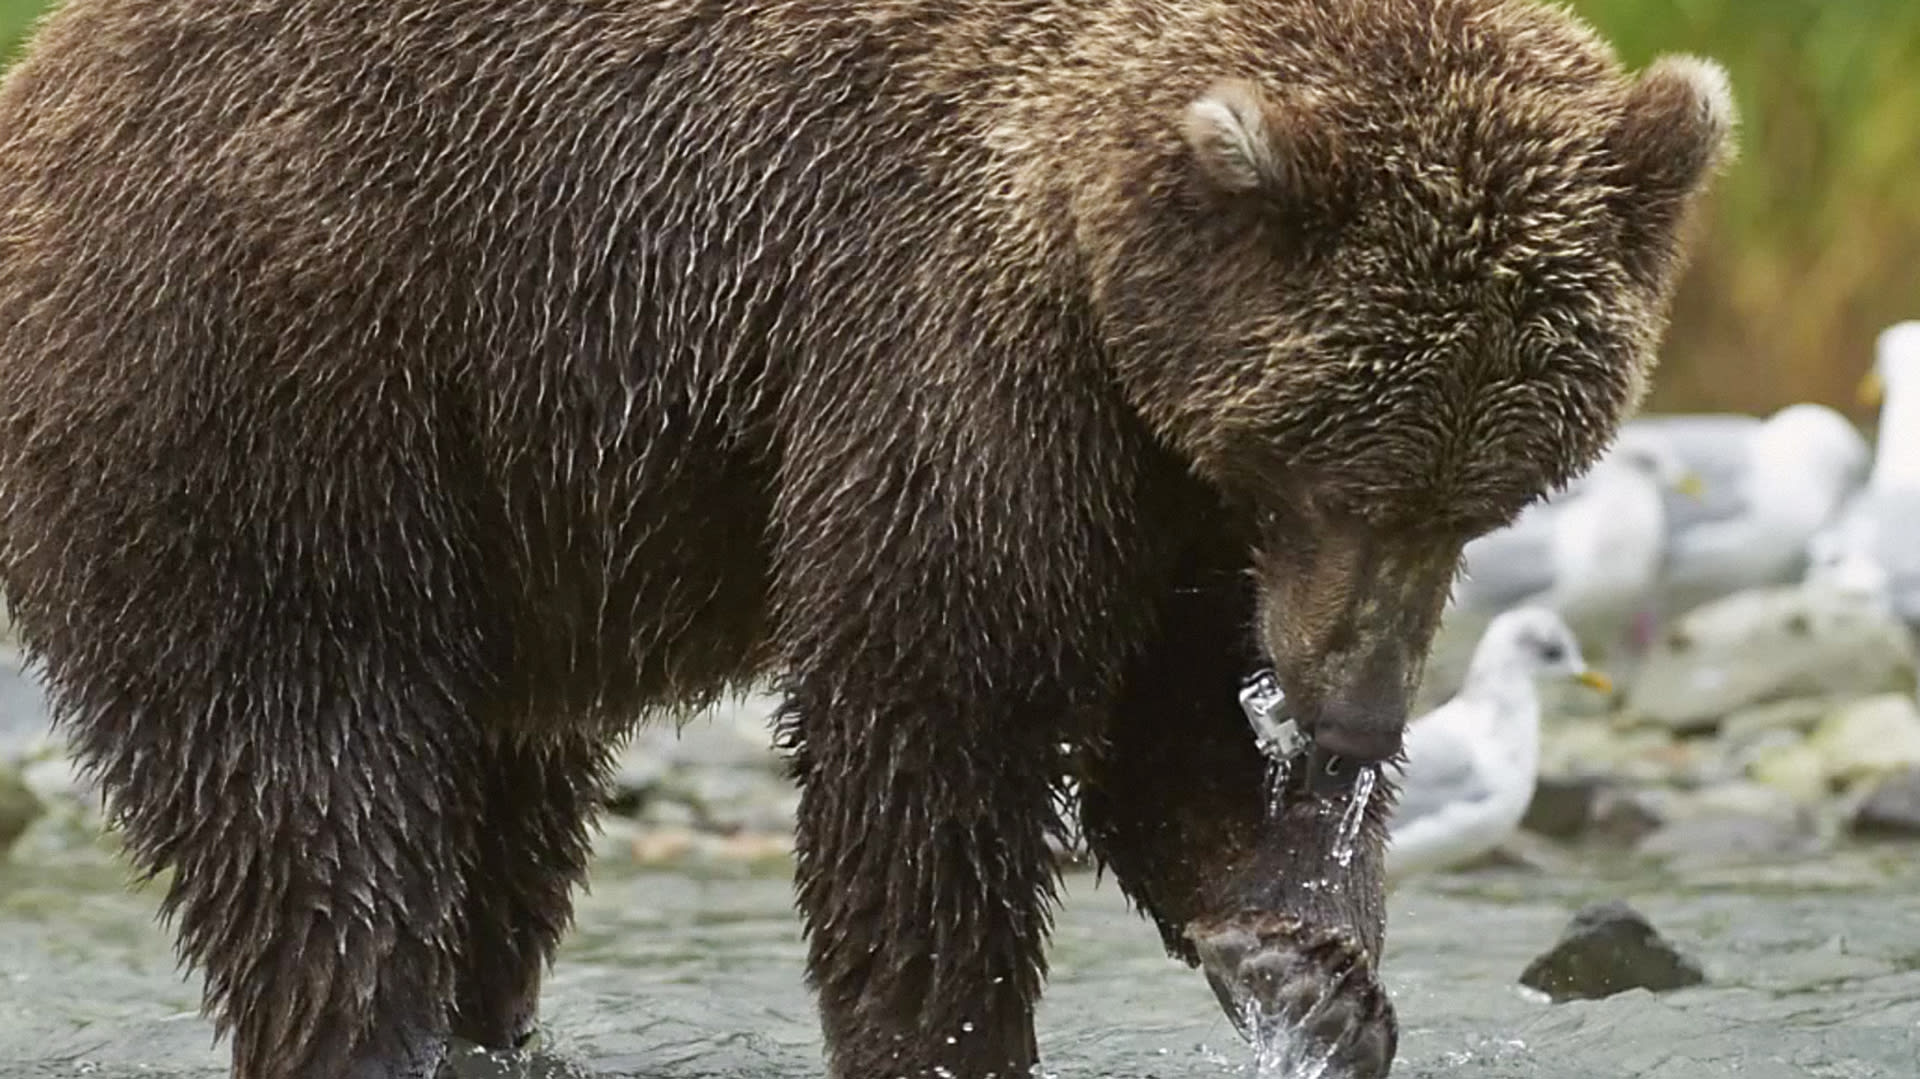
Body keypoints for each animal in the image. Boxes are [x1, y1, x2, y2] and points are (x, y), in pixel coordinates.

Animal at [0, 1, 1734, 1078]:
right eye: (1339, 472)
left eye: (1486, 492)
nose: (1358, 719)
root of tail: (50, 75)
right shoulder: (950, 358)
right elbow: (936, 716)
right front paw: (952, 1025)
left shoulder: (1161, 482)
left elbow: (1163, 724)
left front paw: (1306, 953)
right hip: (284, 366)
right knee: (308, 751)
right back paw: (366, 1013)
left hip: (497, 507)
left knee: (499, 797)